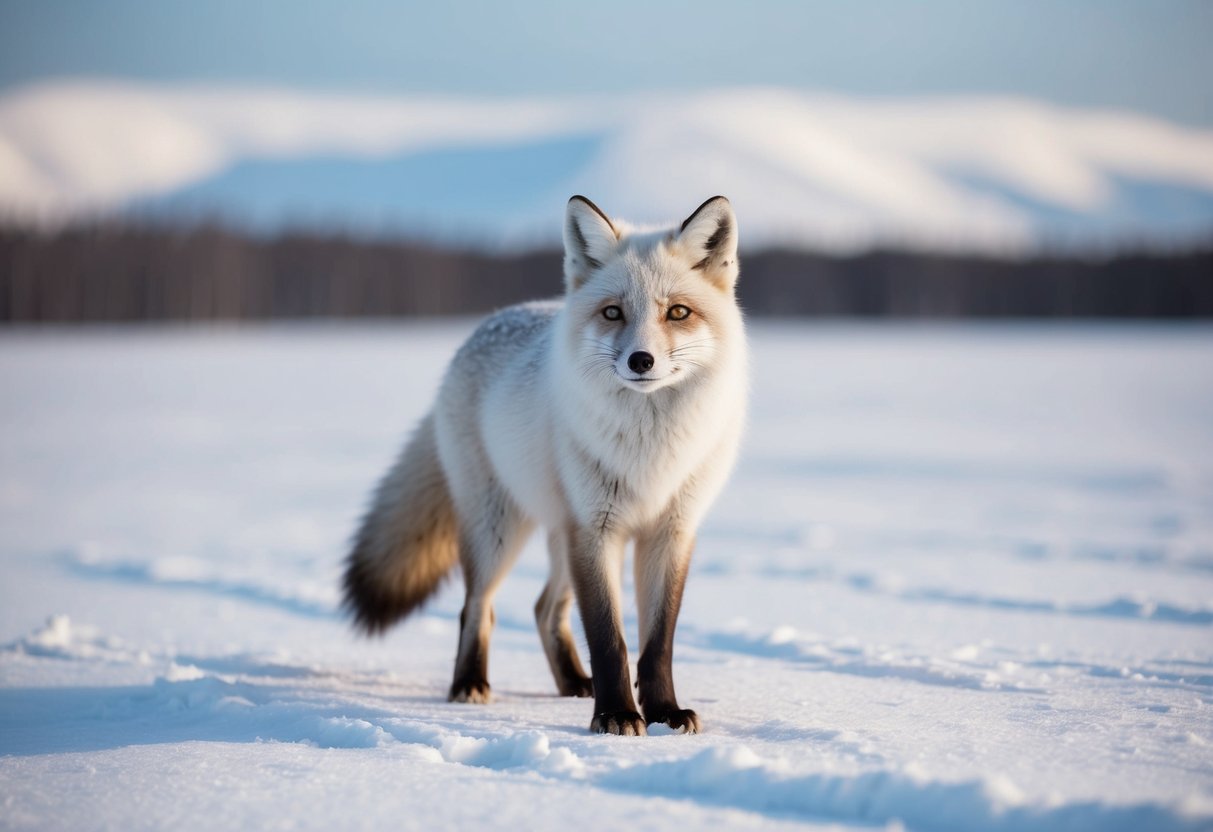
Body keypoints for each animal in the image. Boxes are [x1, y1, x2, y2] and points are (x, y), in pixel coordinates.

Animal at [342, 195, 747, 735]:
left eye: (678, 312)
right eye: (613, 312)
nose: (641, 361)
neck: (650, 451)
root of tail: (489, 323)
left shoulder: (671, 532)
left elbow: (657, 644)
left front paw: (663, 712)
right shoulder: (595, 530)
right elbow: (609, 638)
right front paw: (617, 715)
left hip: (560, 535)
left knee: (543, 608)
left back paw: (573, 683)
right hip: (500, 529)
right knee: (478, 608)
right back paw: (469, 684)